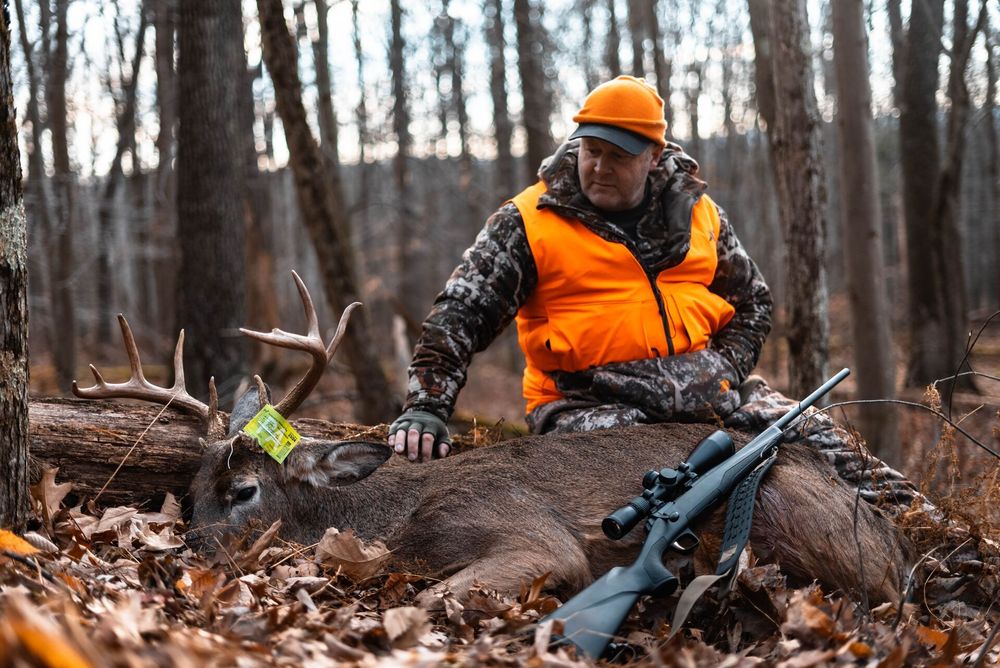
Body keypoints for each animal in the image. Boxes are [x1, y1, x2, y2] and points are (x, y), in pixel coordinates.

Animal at [74, 272, 912, 610]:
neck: (386, 519)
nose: (177, 560)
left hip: (783, 513)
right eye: (189, 493)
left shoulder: (527, 537)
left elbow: (438, 593)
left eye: (244, 490)